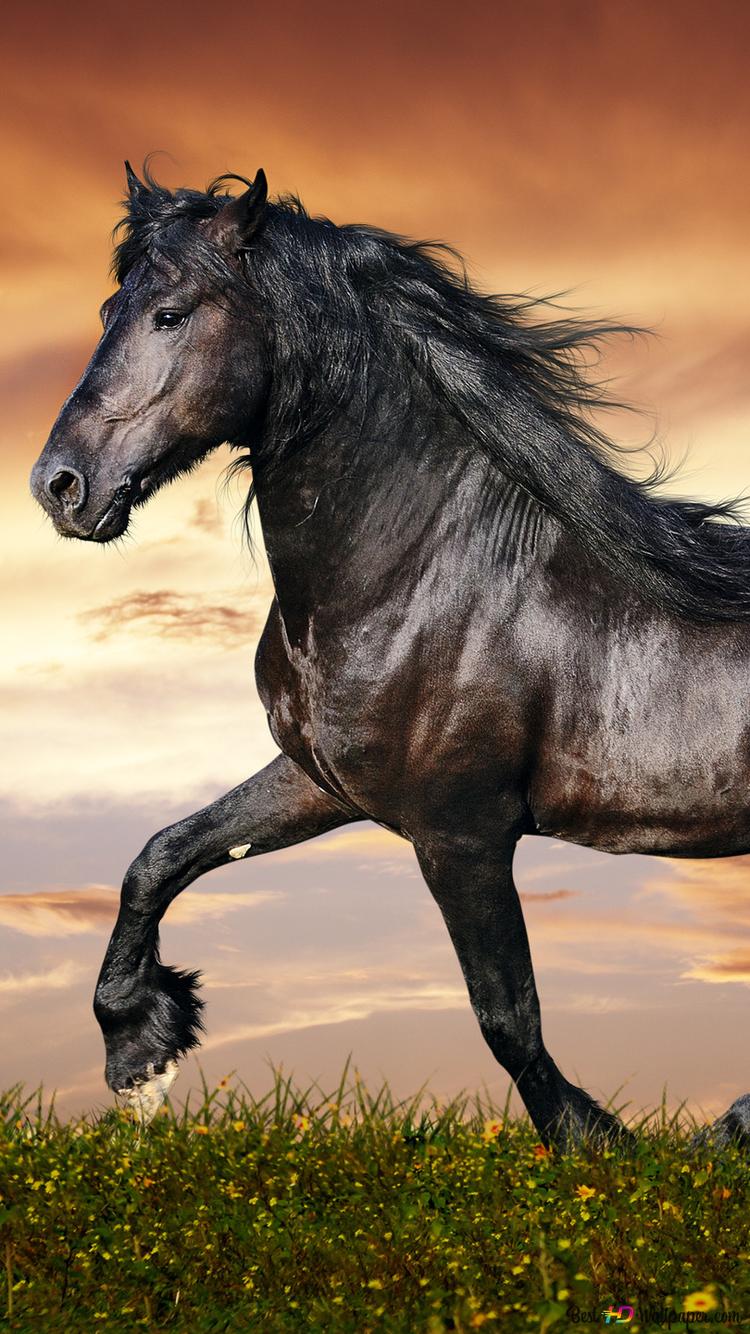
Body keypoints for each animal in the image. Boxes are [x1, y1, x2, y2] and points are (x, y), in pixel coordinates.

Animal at [30, 162, 750, 1148]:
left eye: (170, 314)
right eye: (109, 309)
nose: (58, 485)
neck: (427, 575)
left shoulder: (462, 832)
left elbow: (506, 1016)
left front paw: (596, 1141)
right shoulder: (323, 782)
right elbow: (161, 854)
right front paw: (141, 1049)